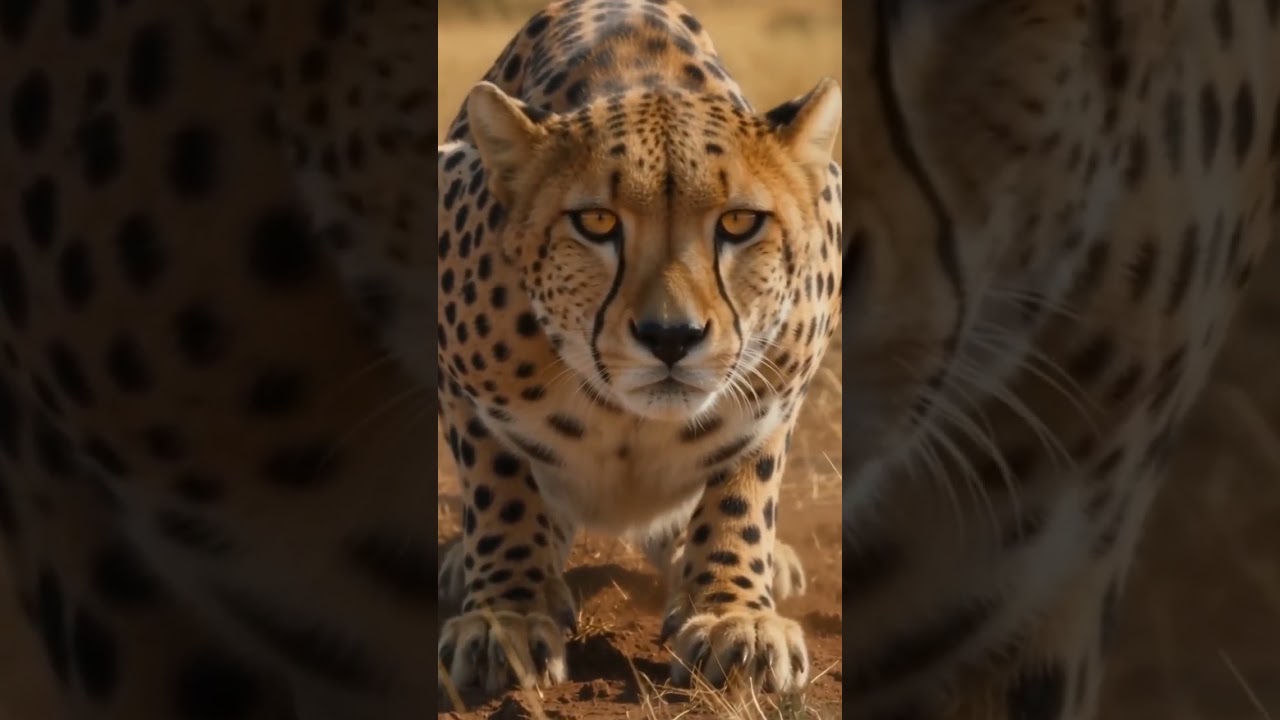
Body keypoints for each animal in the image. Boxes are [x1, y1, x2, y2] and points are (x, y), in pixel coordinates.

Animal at [433, 0, 843, 699]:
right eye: (596, 222)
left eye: (740, 223)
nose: (670, 337)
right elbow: (497, 478)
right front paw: (505, 615)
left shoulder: (784, 373)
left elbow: (745, 482)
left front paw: (733, 615)